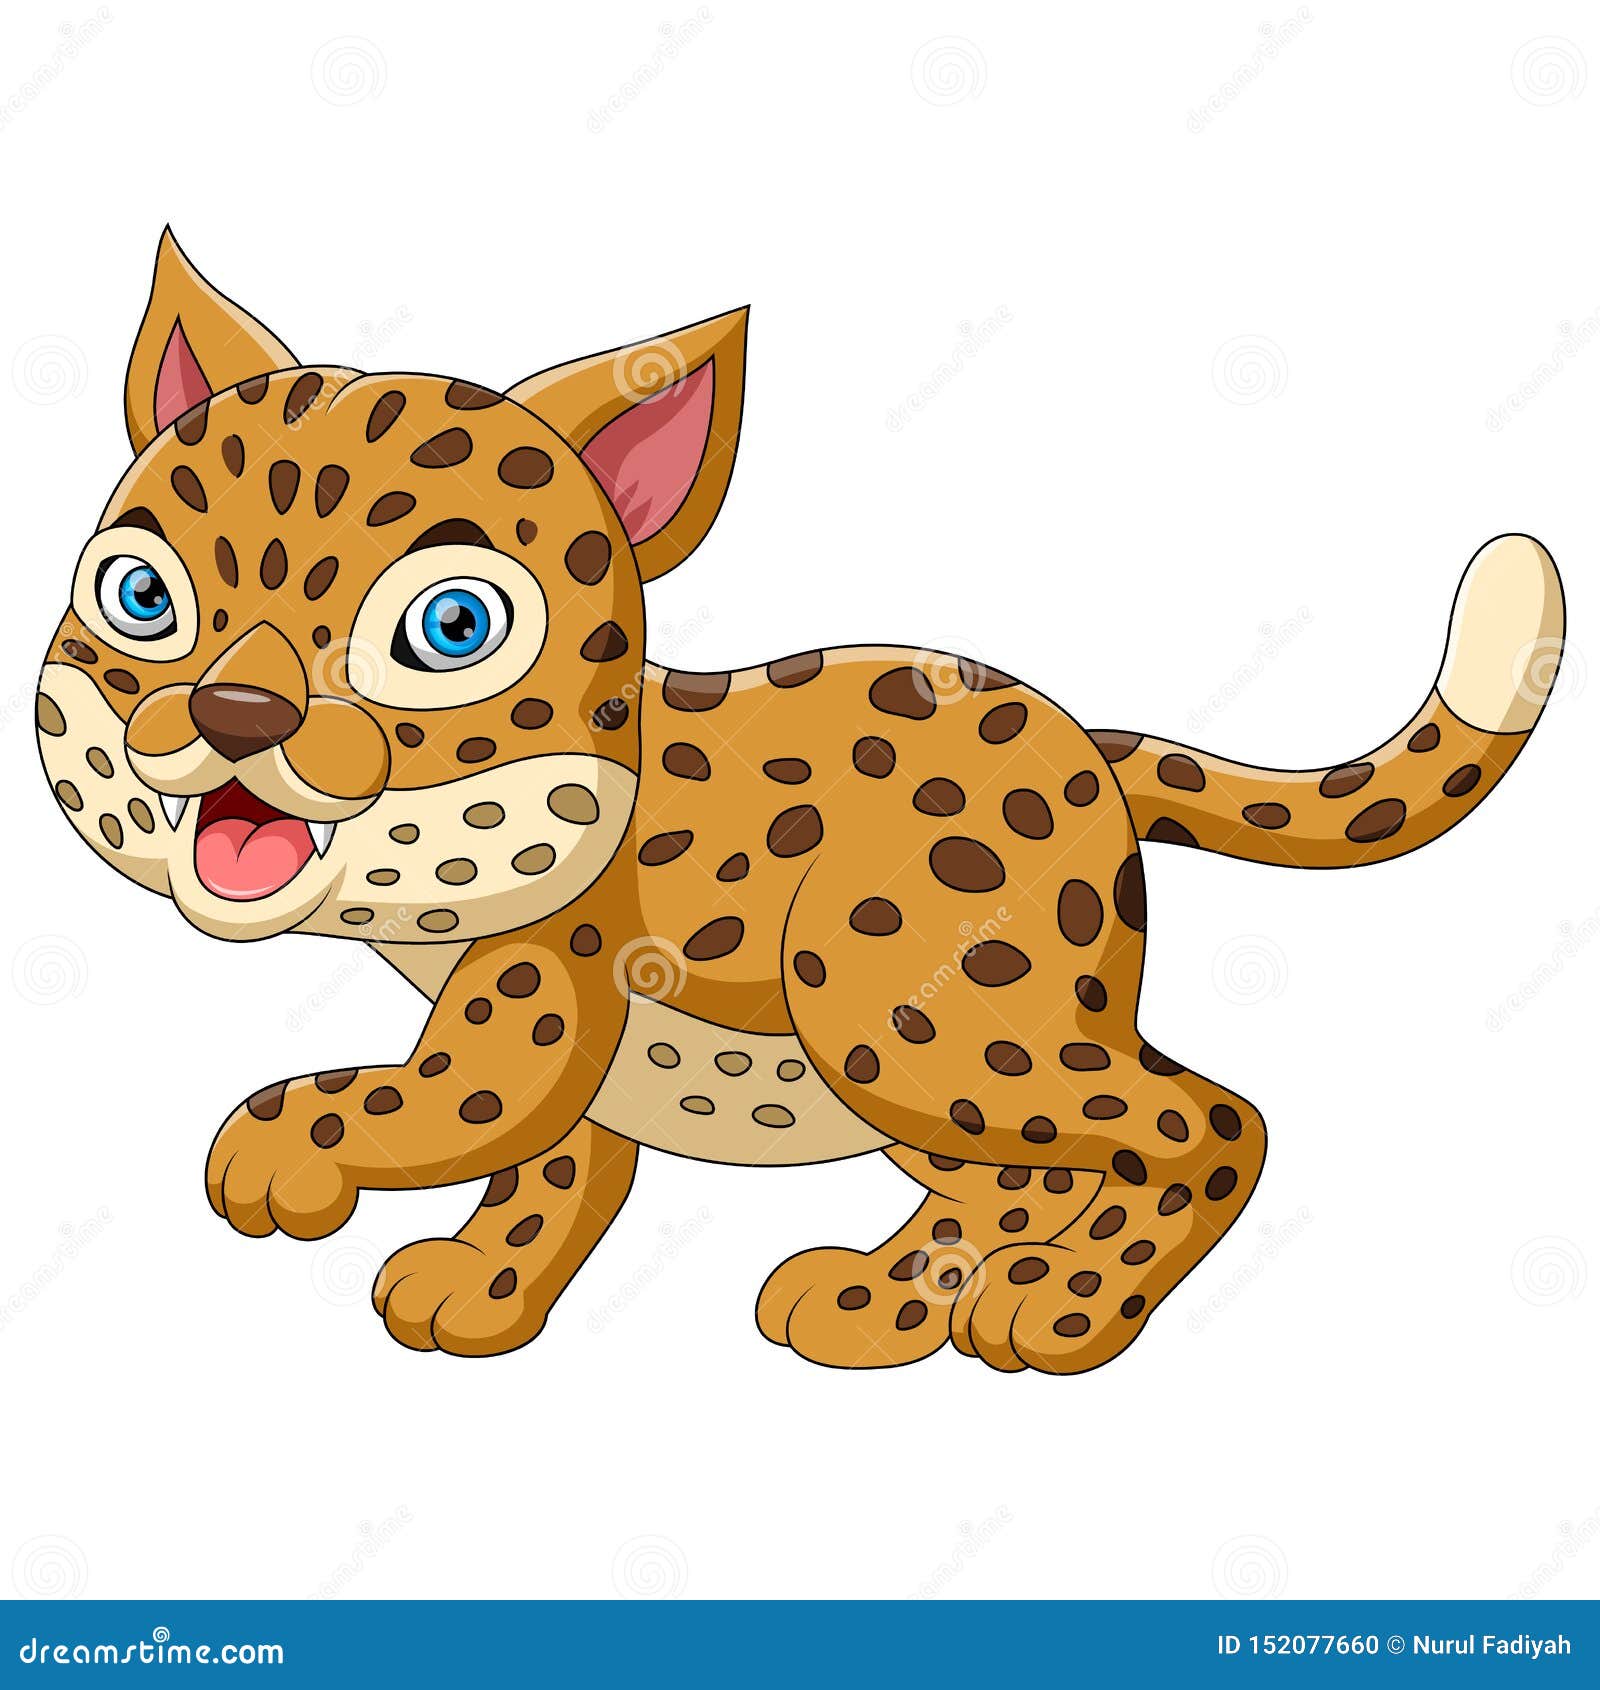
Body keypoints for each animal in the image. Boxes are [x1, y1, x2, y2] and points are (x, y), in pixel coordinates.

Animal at [35, 229, 1566, 1372]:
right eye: (143, 593)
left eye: (453, 626)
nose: (240, 715)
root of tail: (1089, 744)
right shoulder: (579, 1062)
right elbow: (555, 1173)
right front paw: (477, 1291)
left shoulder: (533, 999)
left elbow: (433, 1101)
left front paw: (280, 1153)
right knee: (1030, 1170)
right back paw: (909, 1300)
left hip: (908, 1020)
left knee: (1202, 1121)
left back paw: (1053, 1313)